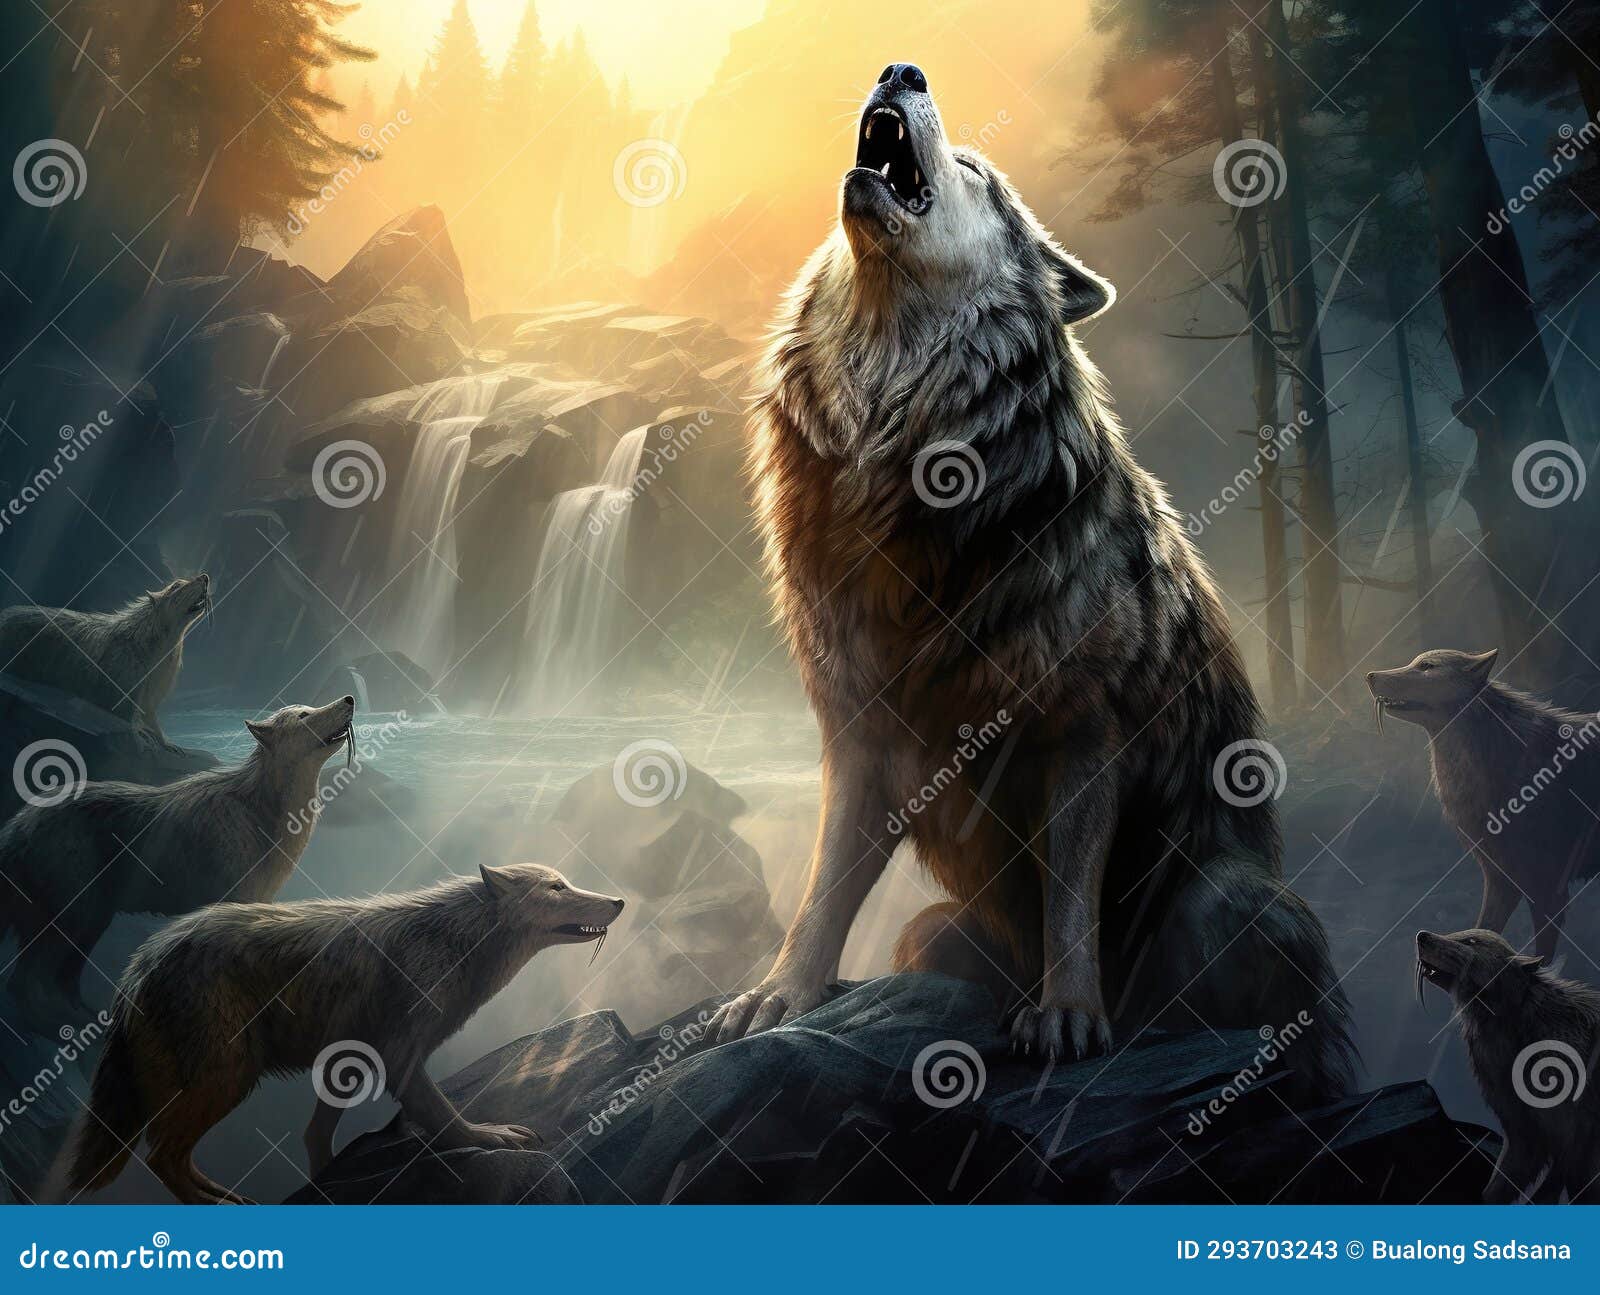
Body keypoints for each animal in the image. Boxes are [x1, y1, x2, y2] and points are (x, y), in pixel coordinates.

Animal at [0, 574, 211, 745]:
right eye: (176, 585)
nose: (205, 577)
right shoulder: (124, 678)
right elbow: (126, 713)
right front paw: (142, 735)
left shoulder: (155, 688)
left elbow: (151, 715)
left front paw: (169, 743)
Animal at [0, 696, 356, 1014]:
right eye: (304, 715)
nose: (349, 699)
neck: (262, 811)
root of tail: (16, 825)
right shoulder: (230, 901)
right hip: (77, 915)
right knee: (28, 980)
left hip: (90, 921)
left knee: (51, 977)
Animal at [58, 863, 624, 1204]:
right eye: (558, 888)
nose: (618, 901)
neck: (452, 939)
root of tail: (139, 963)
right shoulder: (399, 1056)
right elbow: (444, 1118)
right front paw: (491, 1136)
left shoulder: (348, 1059)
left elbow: (317, 1133)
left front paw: (327, 1176)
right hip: (226, 1078)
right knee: (160, 1154)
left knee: (171, 1153)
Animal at [719, 61, 1351, 1092]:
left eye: (978, 170)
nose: (900, 68)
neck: (906, 452)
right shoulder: (861, 736)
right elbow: (823, 888)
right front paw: (781, 994)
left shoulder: (1086, 733)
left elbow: (1070, 898)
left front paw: (1066, 1015)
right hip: (934, 933)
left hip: (1229, 904)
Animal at [1369, 649, 1600, 959]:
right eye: (1415, 661)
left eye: (1427, 666)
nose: (1369, 675)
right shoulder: (1499, 879)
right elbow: (1484, 929)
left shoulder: (1549, 890)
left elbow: (1542, 957)